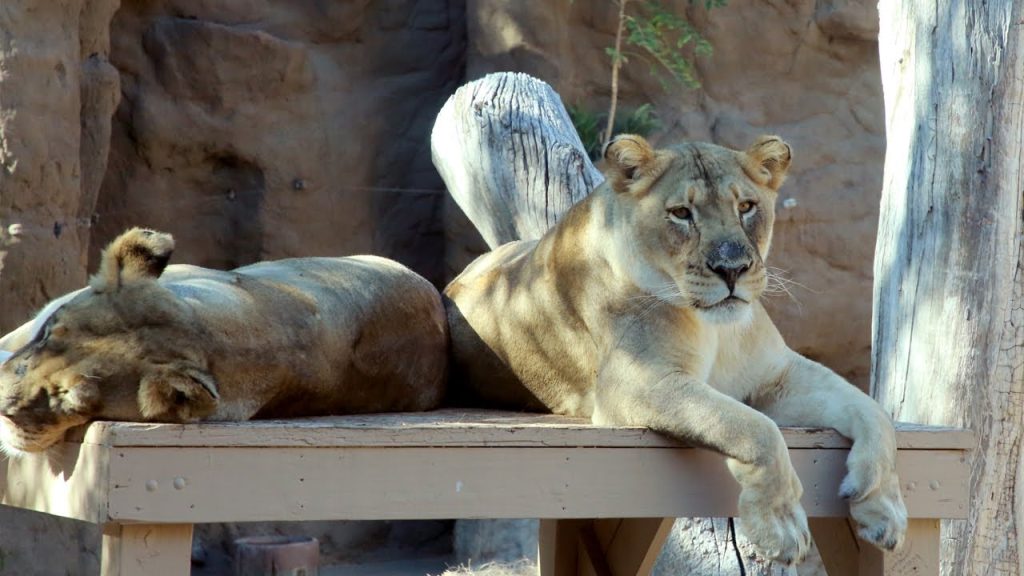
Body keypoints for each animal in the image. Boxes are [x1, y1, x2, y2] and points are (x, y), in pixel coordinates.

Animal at [444, 134, 907, 565]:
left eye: (746, 207)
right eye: (682, 213)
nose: (732, 269)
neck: (718, 330)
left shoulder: (778, 375)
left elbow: (872, 409)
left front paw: (882, 505)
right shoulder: (637, 381)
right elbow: (754, 427)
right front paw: (781, 527)